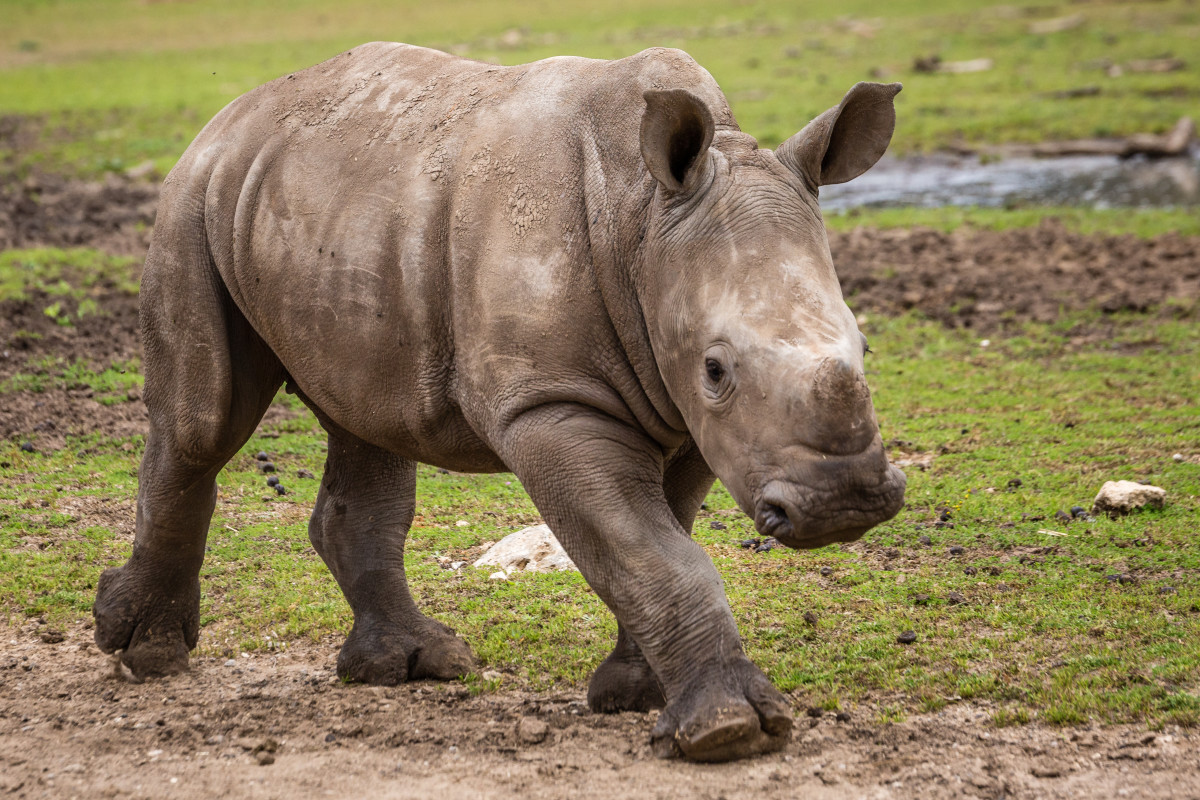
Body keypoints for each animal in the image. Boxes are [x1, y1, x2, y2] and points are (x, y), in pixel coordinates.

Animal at [93, 42, 905, 762]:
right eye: (716, 368)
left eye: (865, 347)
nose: (845, 504)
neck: (645, 218)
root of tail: (235, 113)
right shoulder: (550, 405)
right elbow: (654, 553)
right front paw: (730, 733)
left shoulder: (693, 423)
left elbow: (662, 540)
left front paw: (635, 697)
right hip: (196, 198)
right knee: (203, 424)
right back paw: (149, 655)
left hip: (336, 214)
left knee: (367, 421)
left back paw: (410, 668)